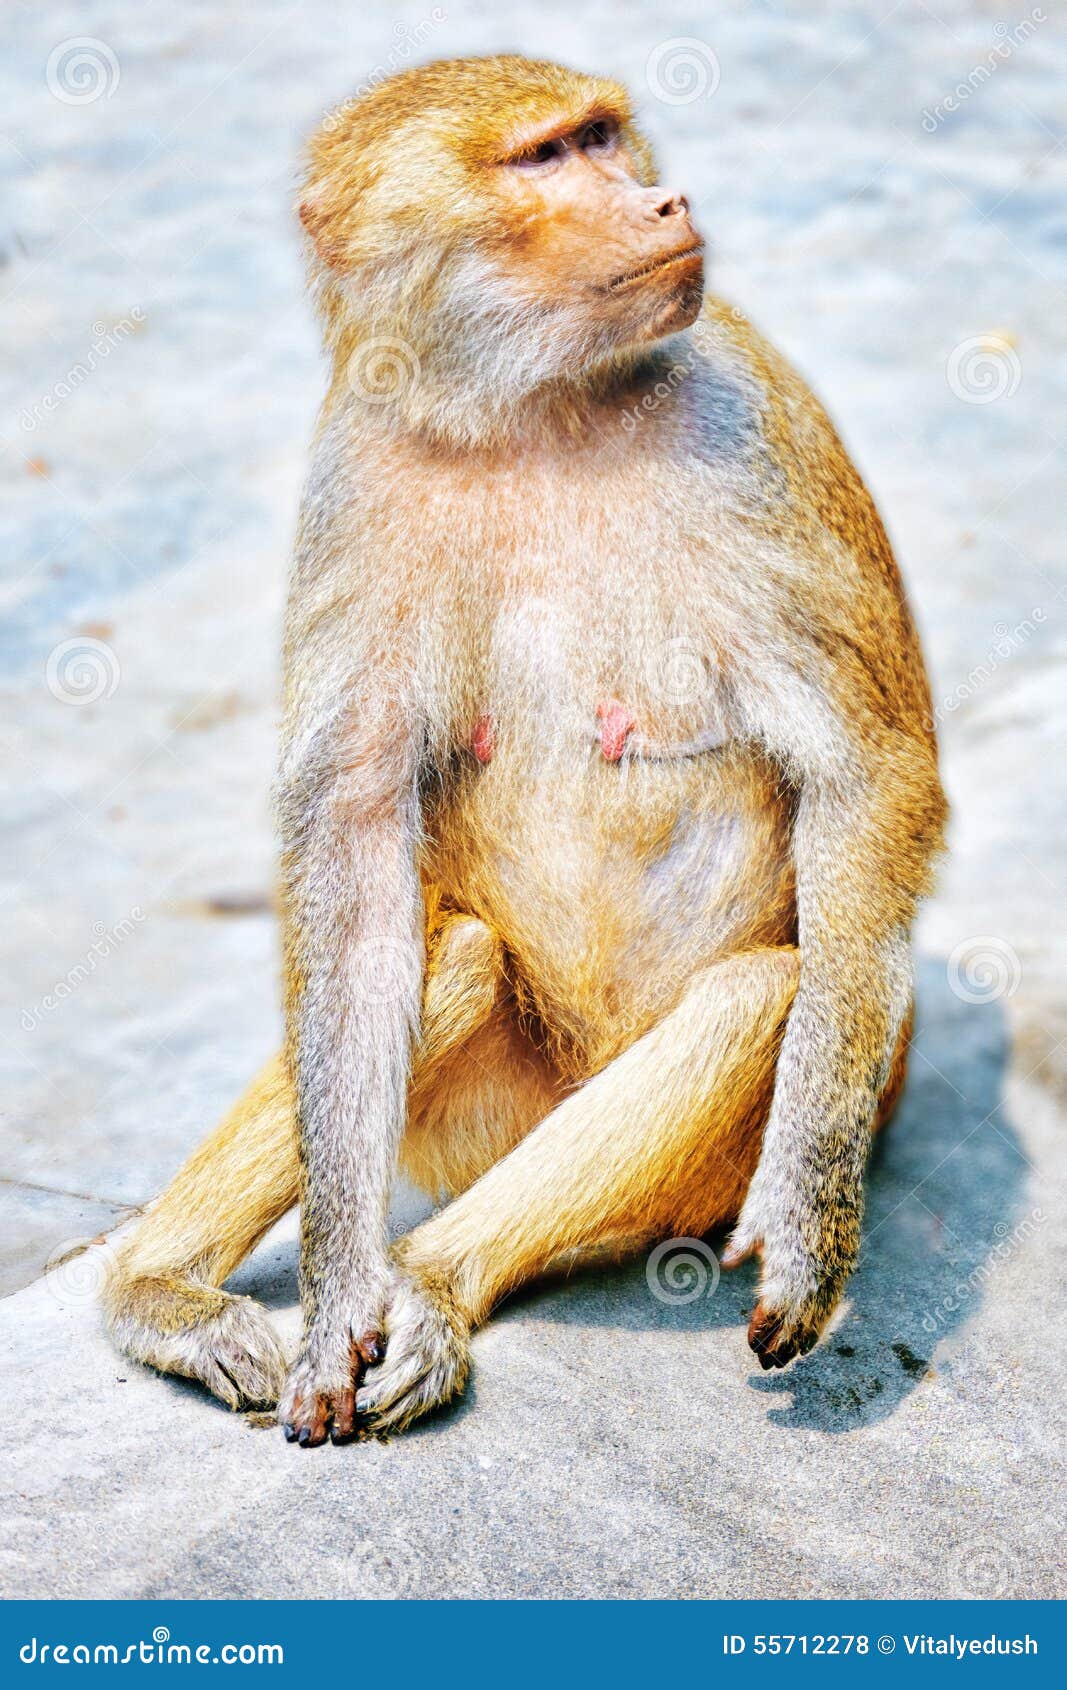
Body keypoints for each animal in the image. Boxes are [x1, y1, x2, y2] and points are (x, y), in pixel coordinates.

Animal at [103, 54, 946, 1445]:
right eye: (543, 157)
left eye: (601, 137)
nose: (662, 202)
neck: (531, 410)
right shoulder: (355, 463)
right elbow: (354, 855)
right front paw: (334, 1309)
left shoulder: (754, 409)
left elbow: (867, 772)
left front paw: (808, 1221)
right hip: (466, 1126)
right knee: (443, 949)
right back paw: (167, 1289)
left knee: (761, 992)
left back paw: (436, 1282)